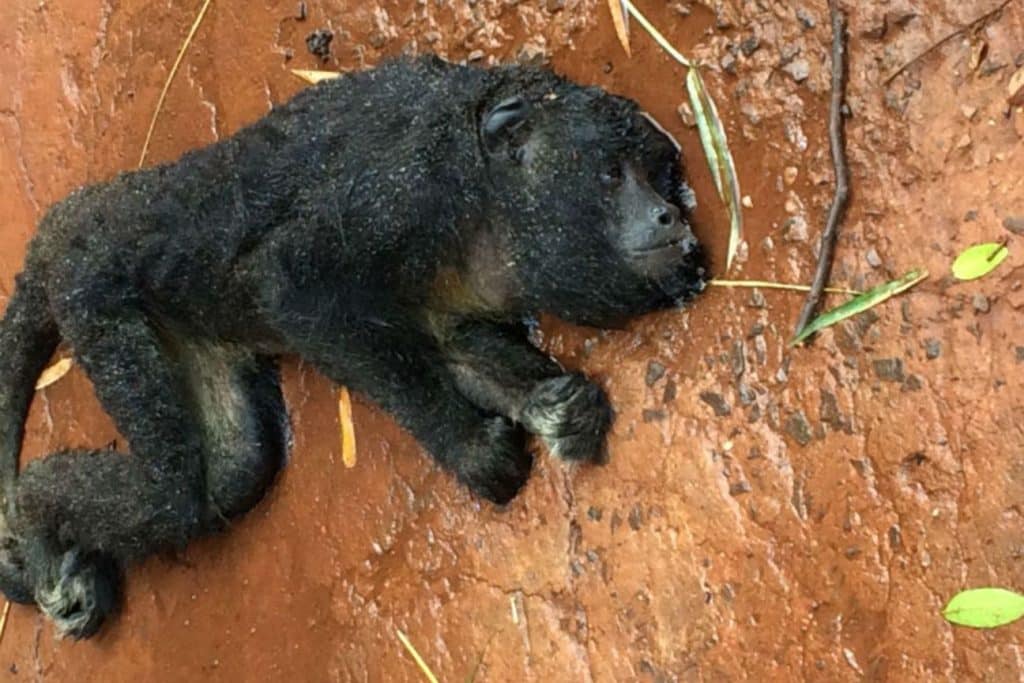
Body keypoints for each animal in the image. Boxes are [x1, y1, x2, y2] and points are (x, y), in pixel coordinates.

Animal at [0, 55, 705, 639]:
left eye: (657, 174)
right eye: (611, 173)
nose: (670, 215)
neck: (480, 188)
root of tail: (72, 218)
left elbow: (450, 344)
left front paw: (552, 406)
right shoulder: (400, 190)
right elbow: (290, 285)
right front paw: (468, 447)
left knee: (235, 470)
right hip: (93, 292)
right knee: (178, 490)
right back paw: (32, 518)